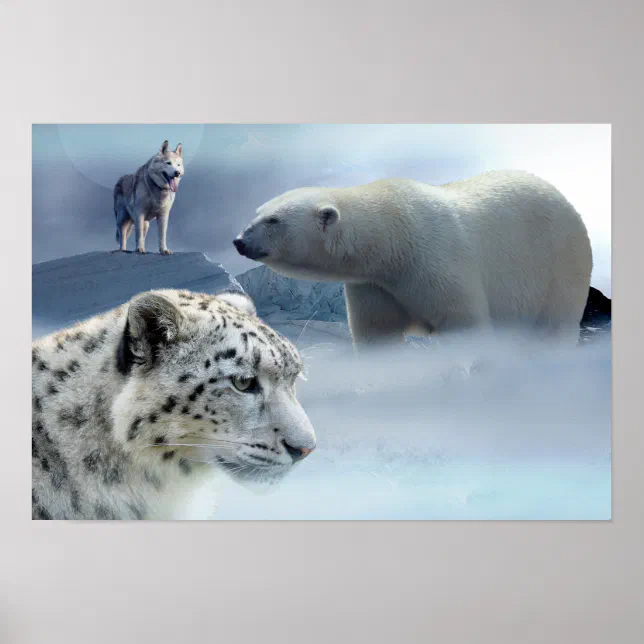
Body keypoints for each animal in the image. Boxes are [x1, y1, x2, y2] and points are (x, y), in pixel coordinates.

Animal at [233, 170, 593, 346]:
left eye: (273, 220)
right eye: (257, 212)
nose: (239, 241)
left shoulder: (436, 260)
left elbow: (464, 323)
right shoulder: (375, 284)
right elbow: (377, 334)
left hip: (559, 265)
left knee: (554, 326)